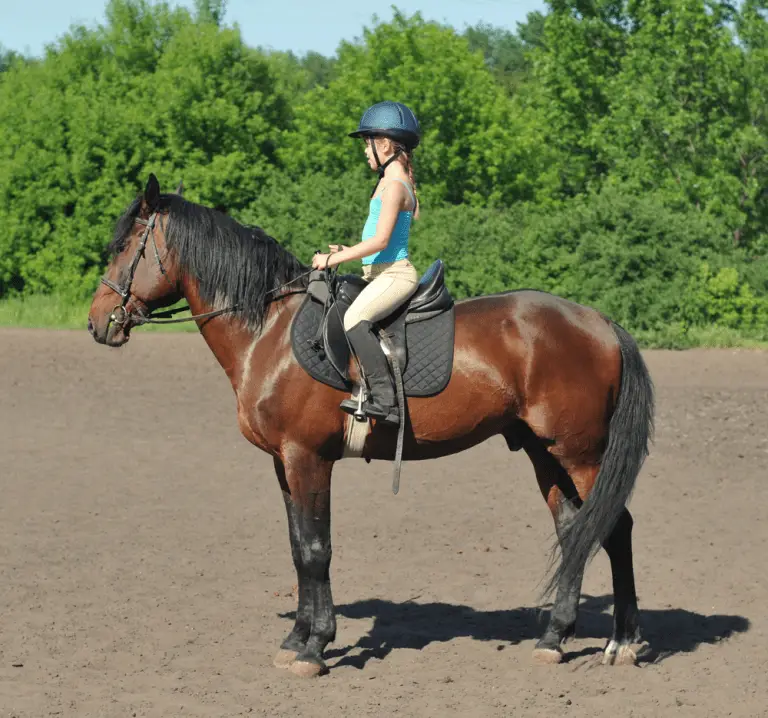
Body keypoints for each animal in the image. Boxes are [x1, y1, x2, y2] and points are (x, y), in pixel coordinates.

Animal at [87, 174, 654, 677]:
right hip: (544, 451)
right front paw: (296, 638)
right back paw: (554, 638)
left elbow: (316, 549)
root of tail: (600, 322)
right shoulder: (283, 463)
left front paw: (315, 648)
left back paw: (622, 642)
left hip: (581, 453)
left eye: (127, 247)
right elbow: (298, 546)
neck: (270, 330)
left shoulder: (307, 457)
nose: (97, 323)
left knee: (616, 526)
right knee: (575, 528)